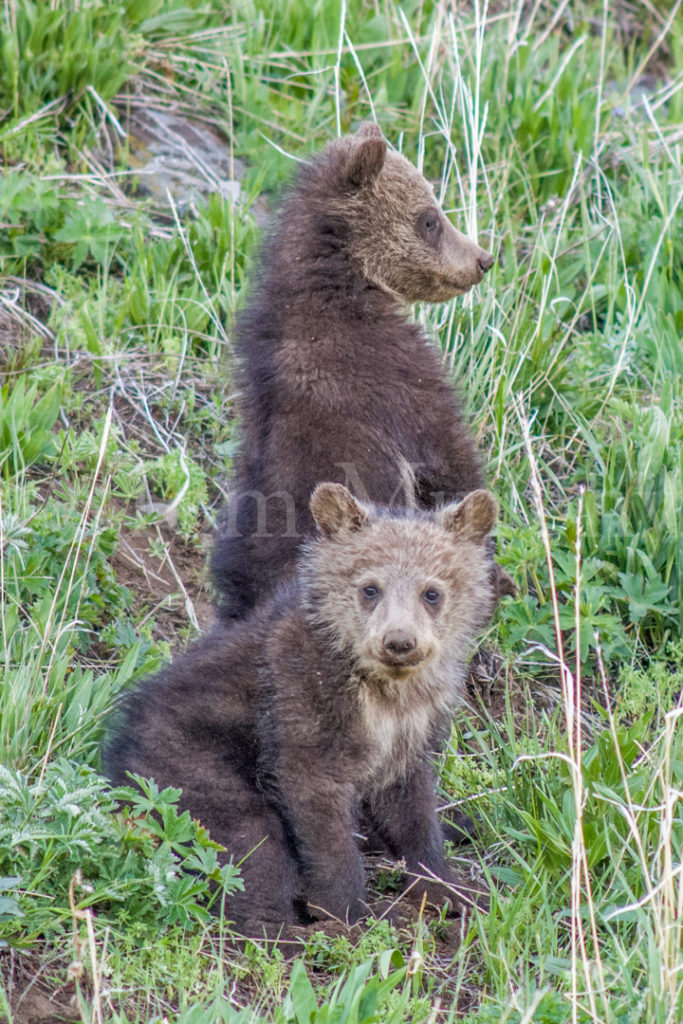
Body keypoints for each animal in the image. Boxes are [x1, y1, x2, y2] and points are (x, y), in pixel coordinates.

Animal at [104, 482, 498, 932]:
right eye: (370, 588)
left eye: (432, 592)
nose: (399, 642)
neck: (382, 689)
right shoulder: (301, 695)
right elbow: (316, 807)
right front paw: (344, 912)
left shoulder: (412, 728)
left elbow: (411, 808)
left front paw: (451, 889)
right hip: (186, 771)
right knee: (246, 847)